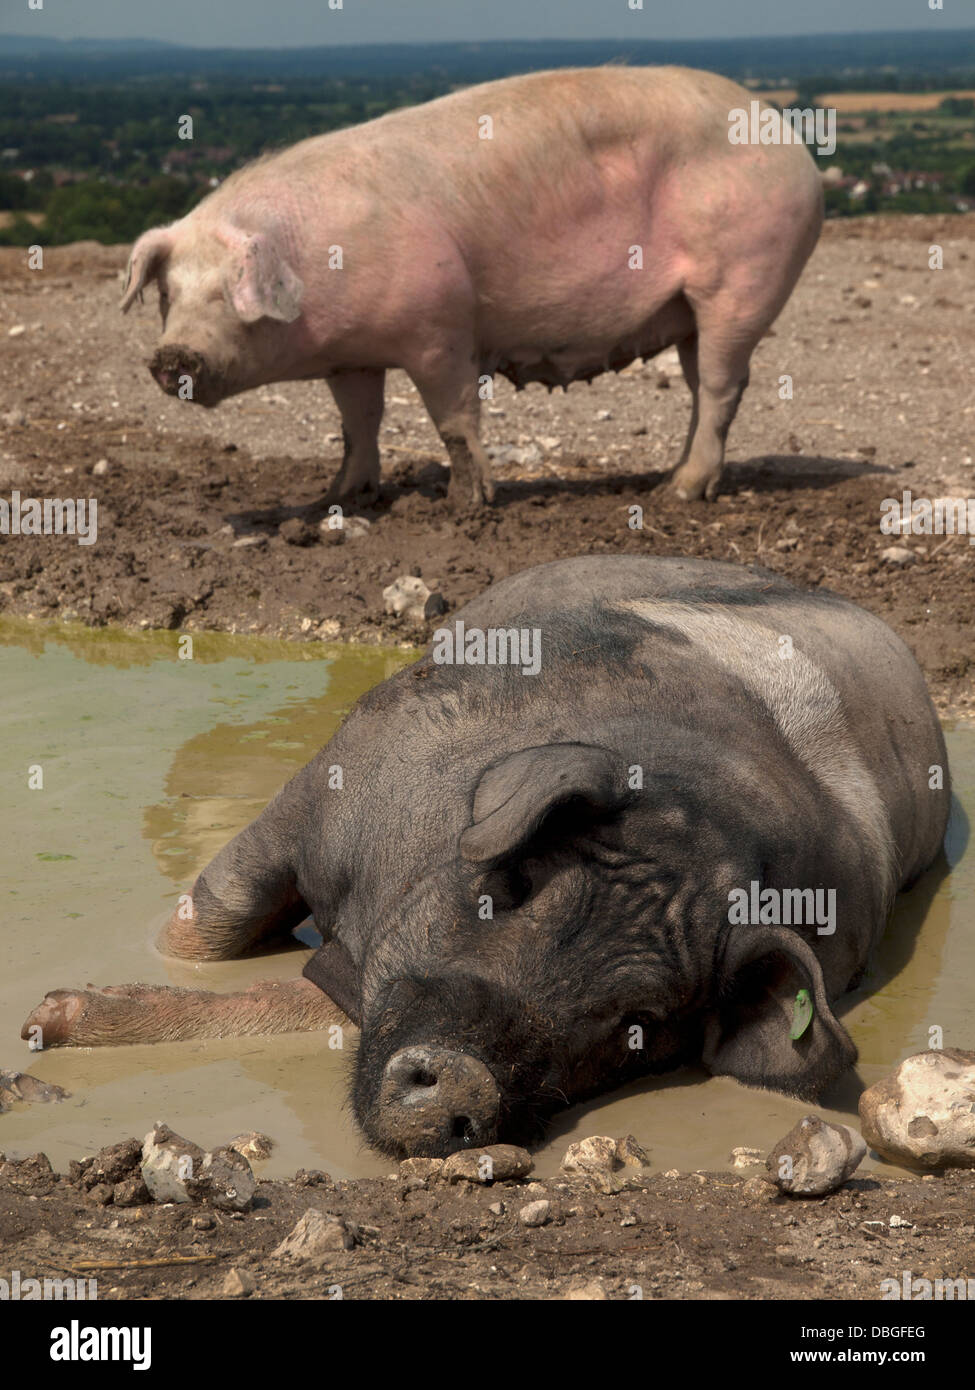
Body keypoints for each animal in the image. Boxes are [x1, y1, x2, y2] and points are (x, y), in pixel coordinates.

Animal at [23, 556, 949, 1158]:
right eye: (517, 888)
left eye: (638, 1023)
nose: (466, 1084)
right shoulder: (320, 792)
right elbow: (212, 921)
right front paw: (43, 1019)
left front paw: (51, 1015)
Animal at [121, 66, 823, 508]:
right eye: (168, 295)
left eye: (227, 295)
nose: (172, 355)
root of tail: (785, 135)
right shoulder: (351, 357)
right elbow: (358, 423)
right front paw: (339, 499)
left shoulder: (441, 325)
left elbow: (454, 418)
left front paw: (465, 505)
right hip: (687, 310)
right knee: (702, 387)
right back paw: (668, 481)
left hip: (742, 280)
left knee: (724, 385)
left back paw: (680, 494)